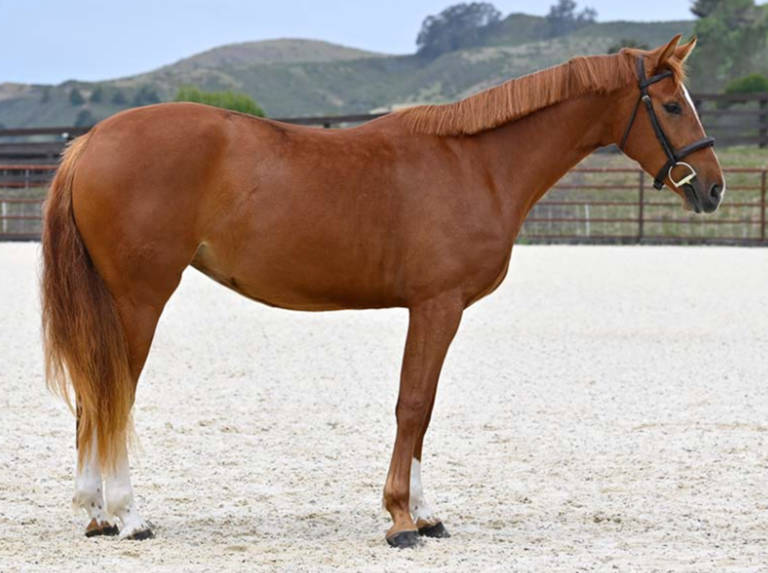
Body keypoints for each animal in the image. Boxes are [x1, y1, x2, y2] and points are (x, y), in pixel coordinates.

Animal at [42, 35, 724, 548]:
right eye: (670, 107)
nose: (712, 187)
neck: (476, 165)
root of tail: (90, 142)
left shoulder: (436, 311)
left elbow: (423, 410)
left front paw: (424, 513)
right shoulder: (436, 307)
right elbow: (413, 405)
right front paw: (400, 519)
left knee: (91, 401)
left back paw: (96, 515)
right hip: (138, 302)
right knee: (113, 399)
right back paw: (129, 516)